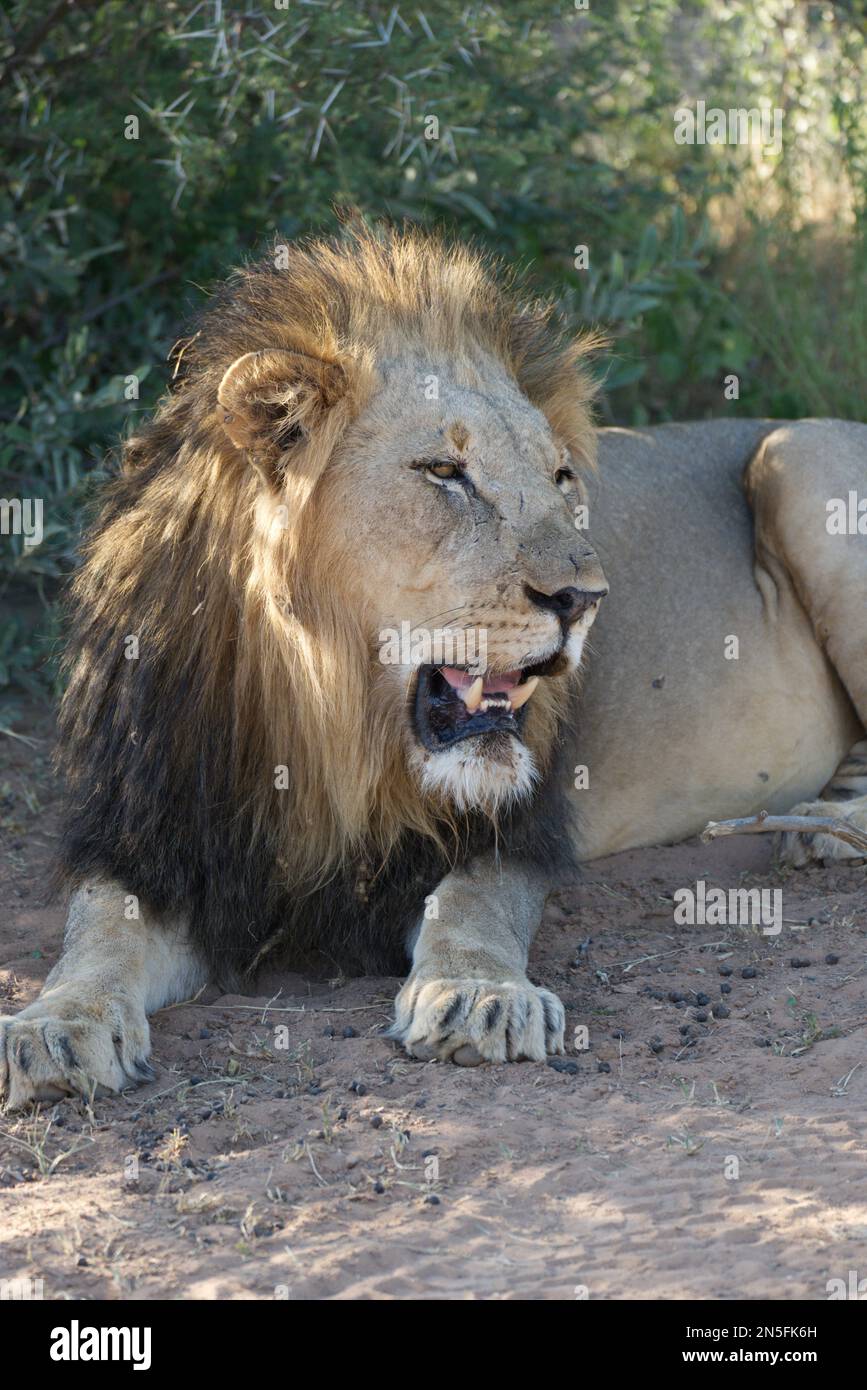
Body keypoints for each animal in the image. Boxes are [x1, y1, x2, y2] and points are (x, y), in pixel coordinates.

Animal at [1, 226, 865, 1105]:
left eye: (560, 477)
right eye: (445, 473)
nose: (586, 597)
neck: (327, 728)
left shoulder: (510, 832)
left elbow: (472, 906)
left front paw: (481, 996)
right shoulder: (149, 836)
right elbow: (97, 931)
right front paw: (58, 1024)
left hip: (798, 458)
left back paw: (826, 832)